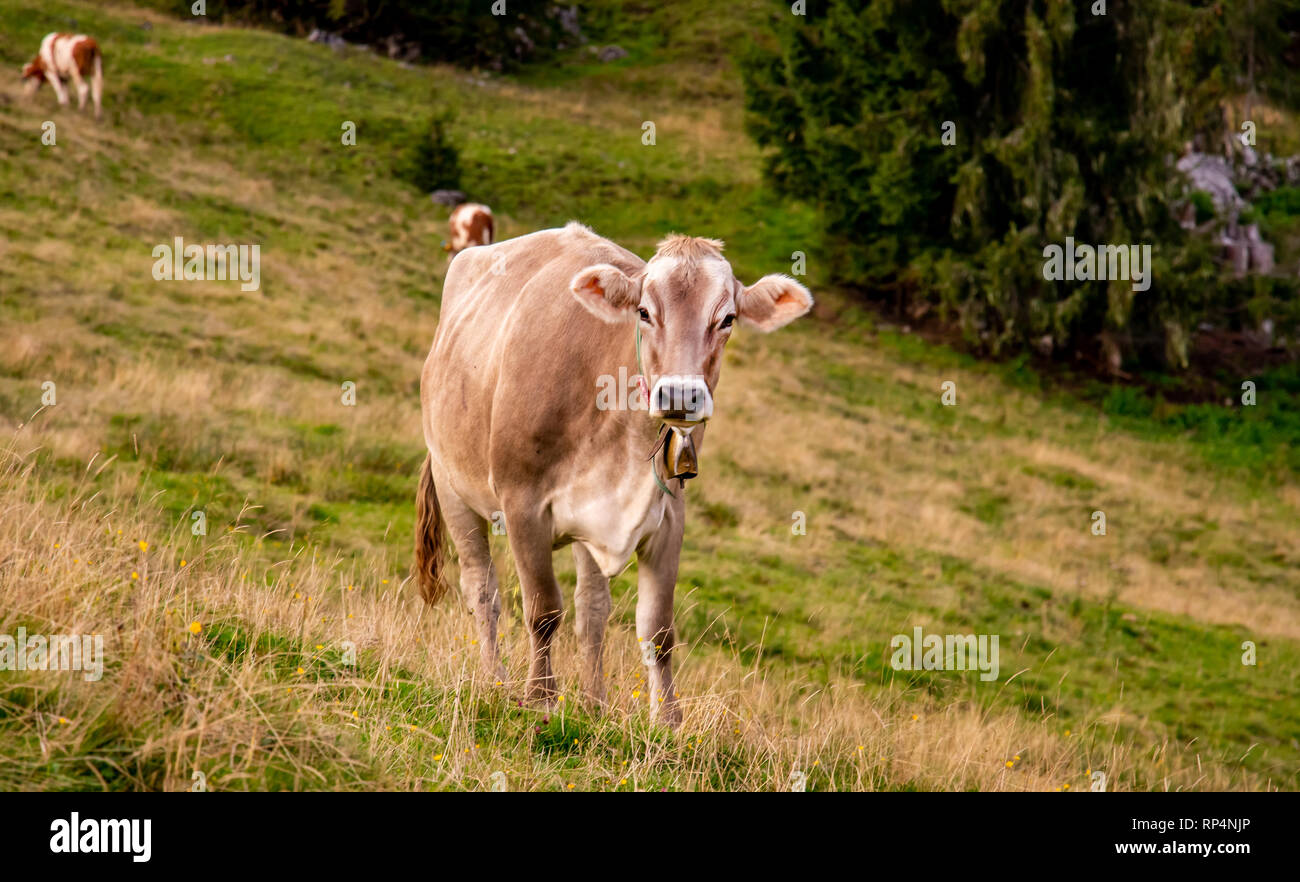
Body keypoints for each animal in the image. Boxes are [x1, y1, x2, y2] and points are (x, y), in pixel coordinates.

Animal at [415, 222, 812, 726]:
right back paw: (496, 679)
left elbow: (657, 630)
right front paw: (540, 698)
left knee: (592, 609)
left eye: (727, 319)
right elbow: (543, 609)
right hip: (452, 483)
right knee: (482, 588)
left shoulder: (669, 515)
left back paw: (594, 702)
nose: (679, 395)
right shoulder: (523, 503)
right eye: (644, 312)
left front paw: (668, 723)